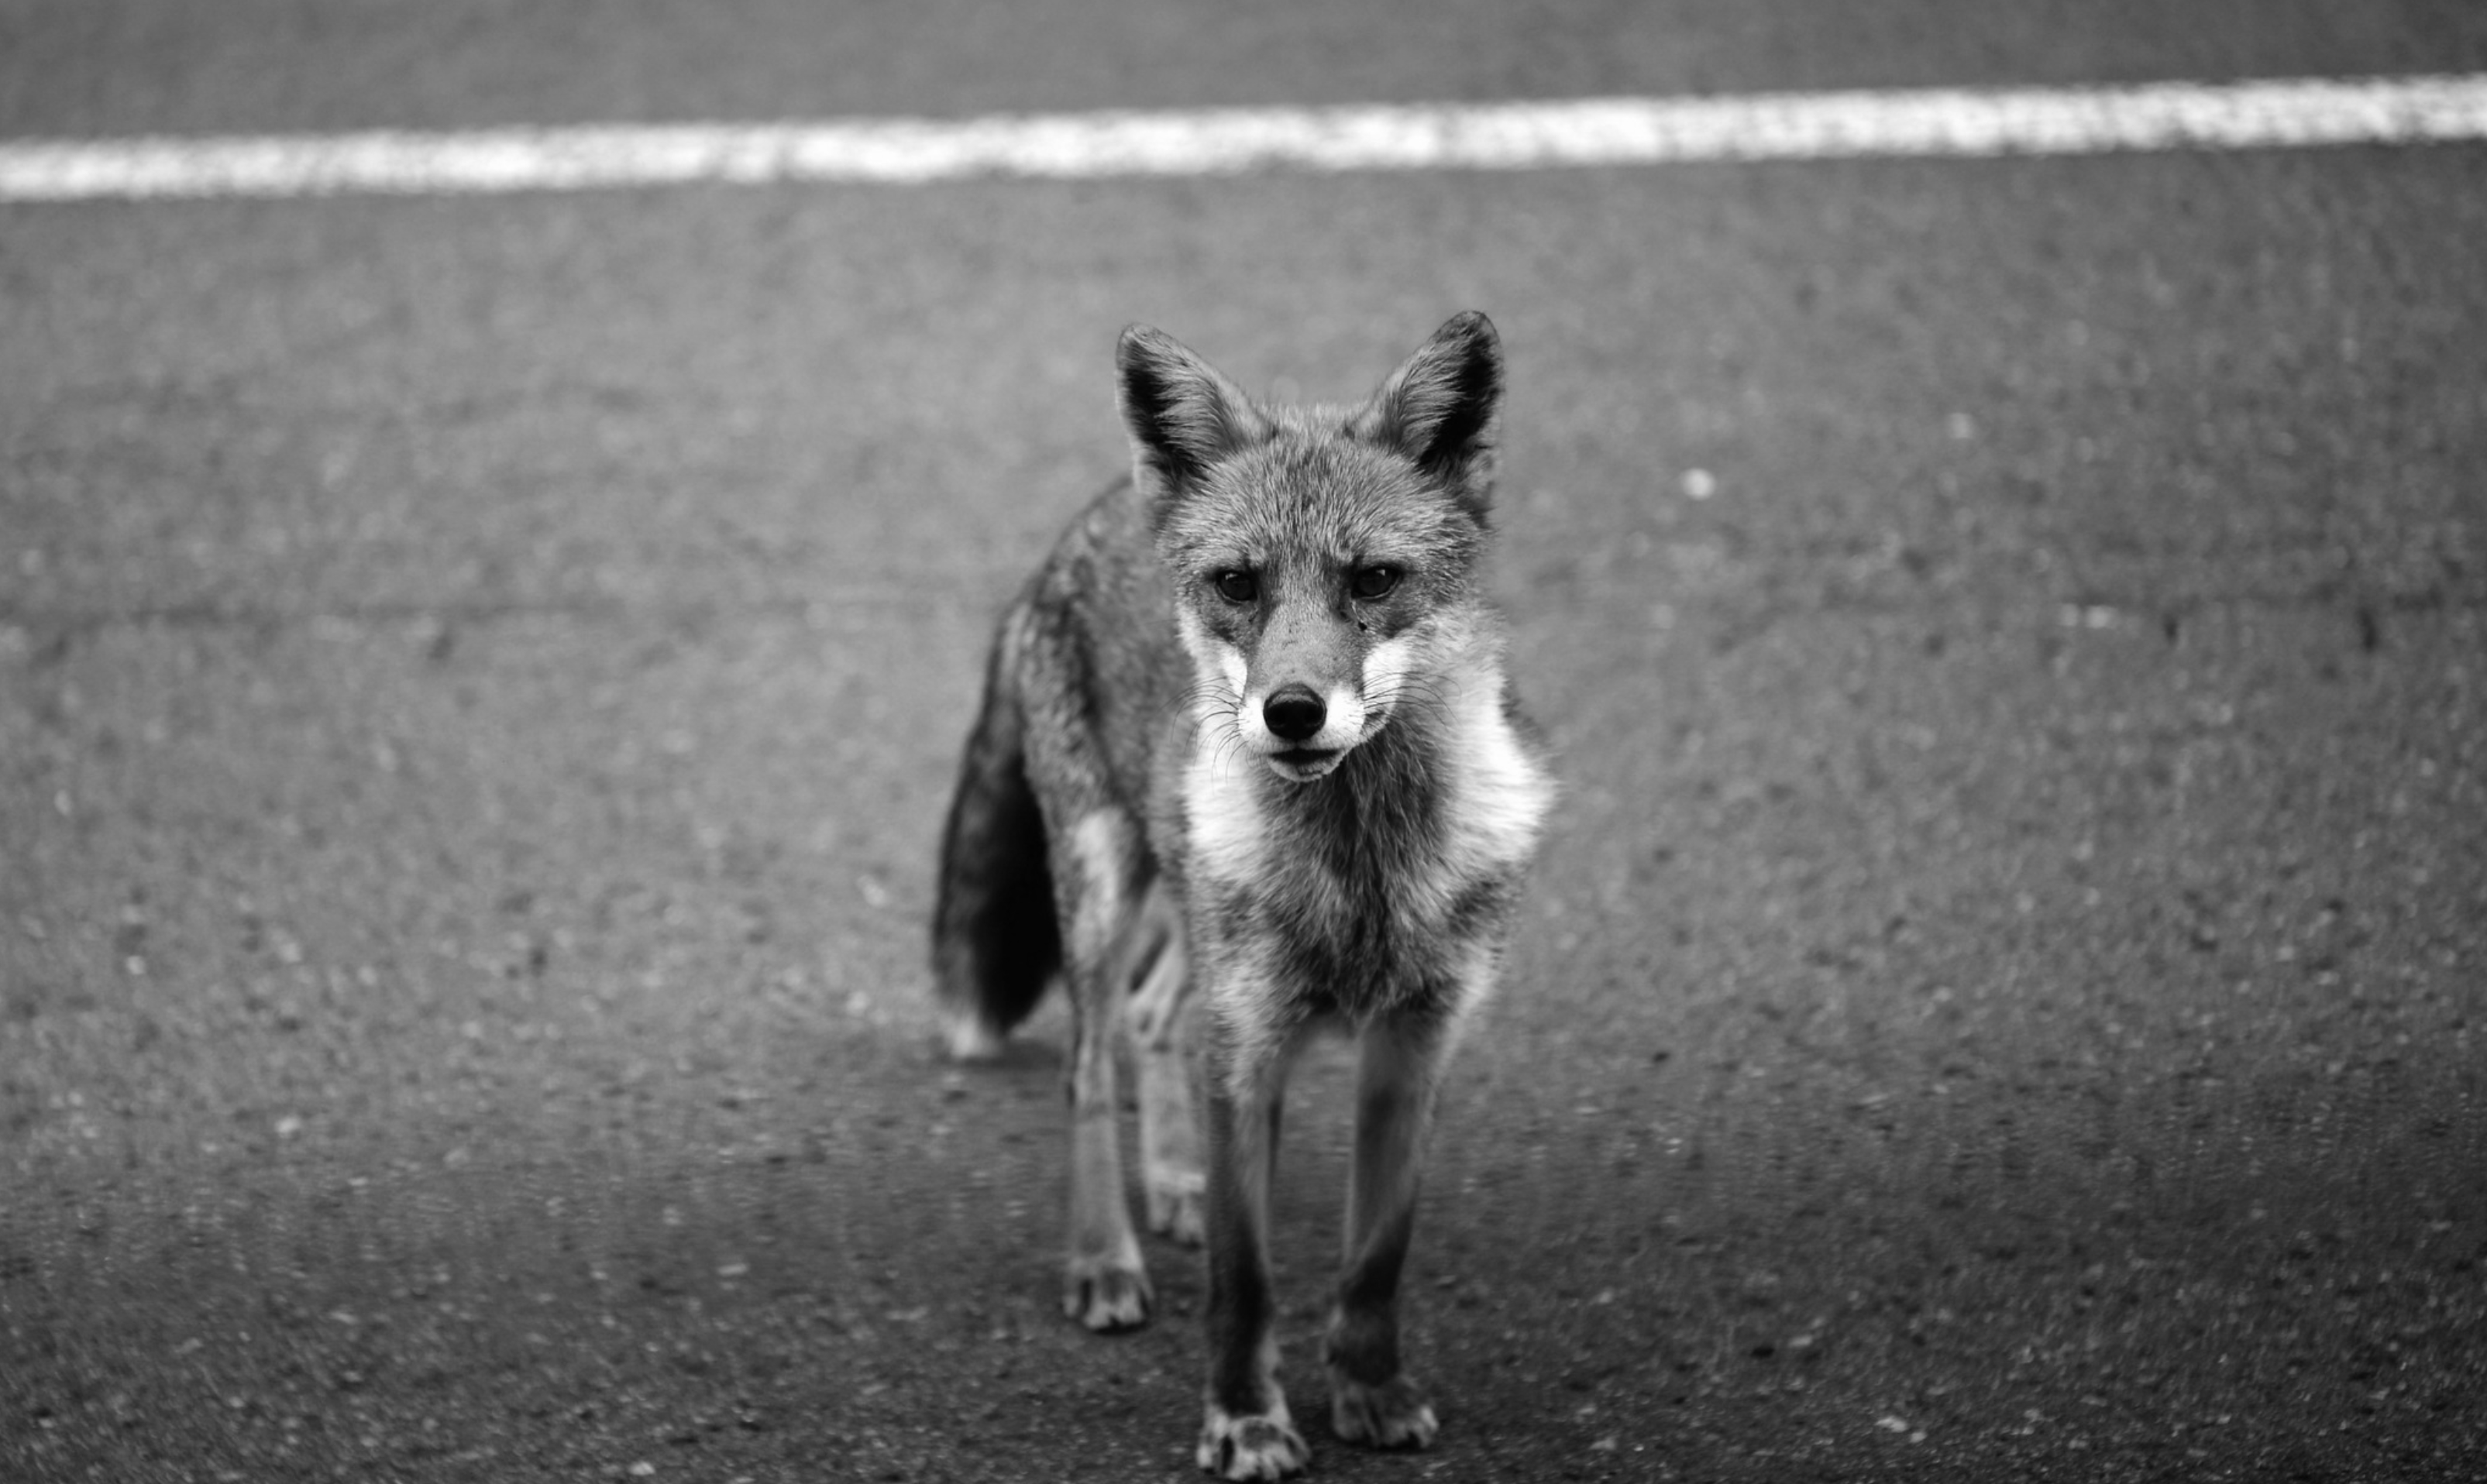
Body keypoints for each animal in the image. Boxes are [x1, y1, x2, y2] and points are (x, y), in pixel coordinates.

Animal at [930, 311, 1553, 1479]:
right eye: (1238, 583)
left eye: (1374, 579)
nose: (1292, 711)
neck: (1363, 874)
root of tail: (1090, 521)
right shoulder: (1250, 1047)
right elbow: (1245, 1277)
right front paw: (1245, 1420)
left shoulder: (1414, 1042)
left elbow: (1374, 1260)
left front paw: (1369, 1391)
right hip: (1105, 887)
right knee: (1091, 1061)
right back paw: (1106, 1257)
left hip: (1198, 927)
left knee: (1149, 1017)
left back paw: (1171, 1182)